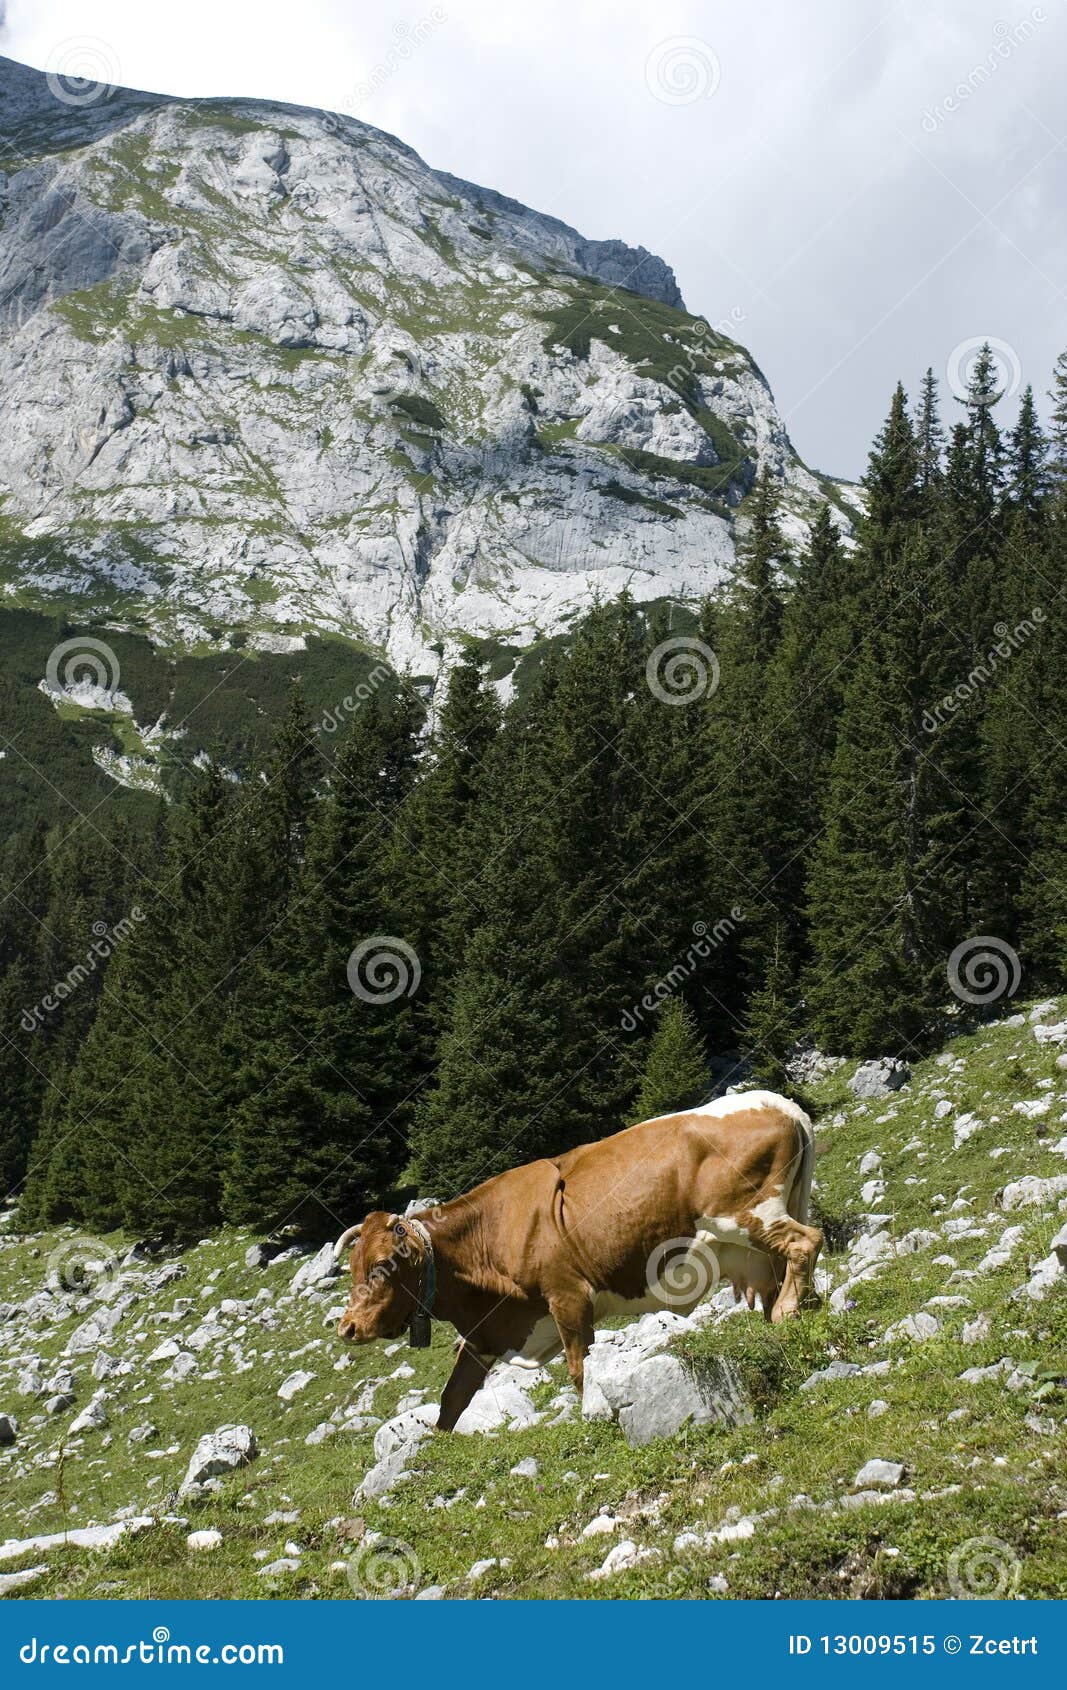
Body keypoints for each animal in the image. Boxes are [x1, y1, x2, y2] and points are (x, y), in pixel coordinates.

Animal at [334, 1089, 822, 1432]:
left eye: (382, 1265)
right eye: (353, 1267)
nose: (347, 1328)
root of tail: (781, 1103)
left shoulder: (568, 1296)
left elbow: (580, 1369)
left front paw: (593, 1415)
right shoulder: (485, 1333)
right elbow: (452, 1398)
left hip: (749, 1215)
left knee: (806, 1243)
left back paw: (787, 1313)